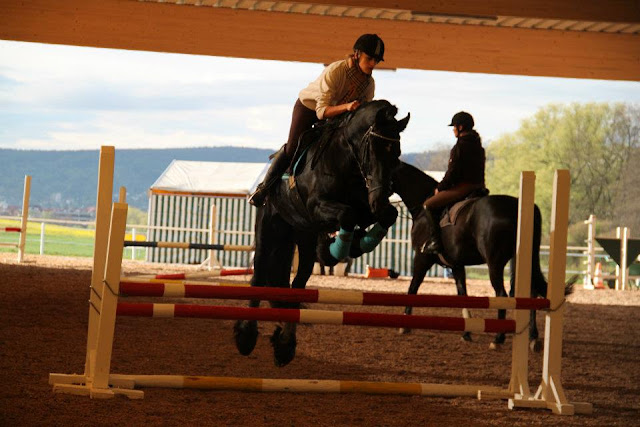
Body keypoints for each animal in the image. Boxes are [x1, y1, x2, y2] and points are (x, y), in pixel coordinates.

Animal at [234, 100, 410, 366]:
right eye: (373, 150)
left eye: (396, 153)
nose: (379, 198)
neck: (345, 161)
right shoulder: (317, 207)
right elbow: (347, 215)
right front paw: (333, 250)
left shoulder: (364, 208)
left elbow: (383, 216)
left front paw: (350, 245)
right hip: (269, 228)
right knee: (259, 275)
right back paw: (246, 337)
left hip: (302, 235)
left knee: (297, 284)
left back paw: (285, 345)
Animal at [390, 162, 552, 351]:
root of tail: (517, 206)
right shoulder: (456, 265)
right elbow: (463, 294)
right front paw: (466, 332)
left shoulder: (422, 258)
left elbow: (413, 287)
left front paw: (404, 324)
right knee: (532, 293)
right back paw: (533, 338)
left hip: (495, 263)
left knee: (502, 294)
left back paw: (498, 338)